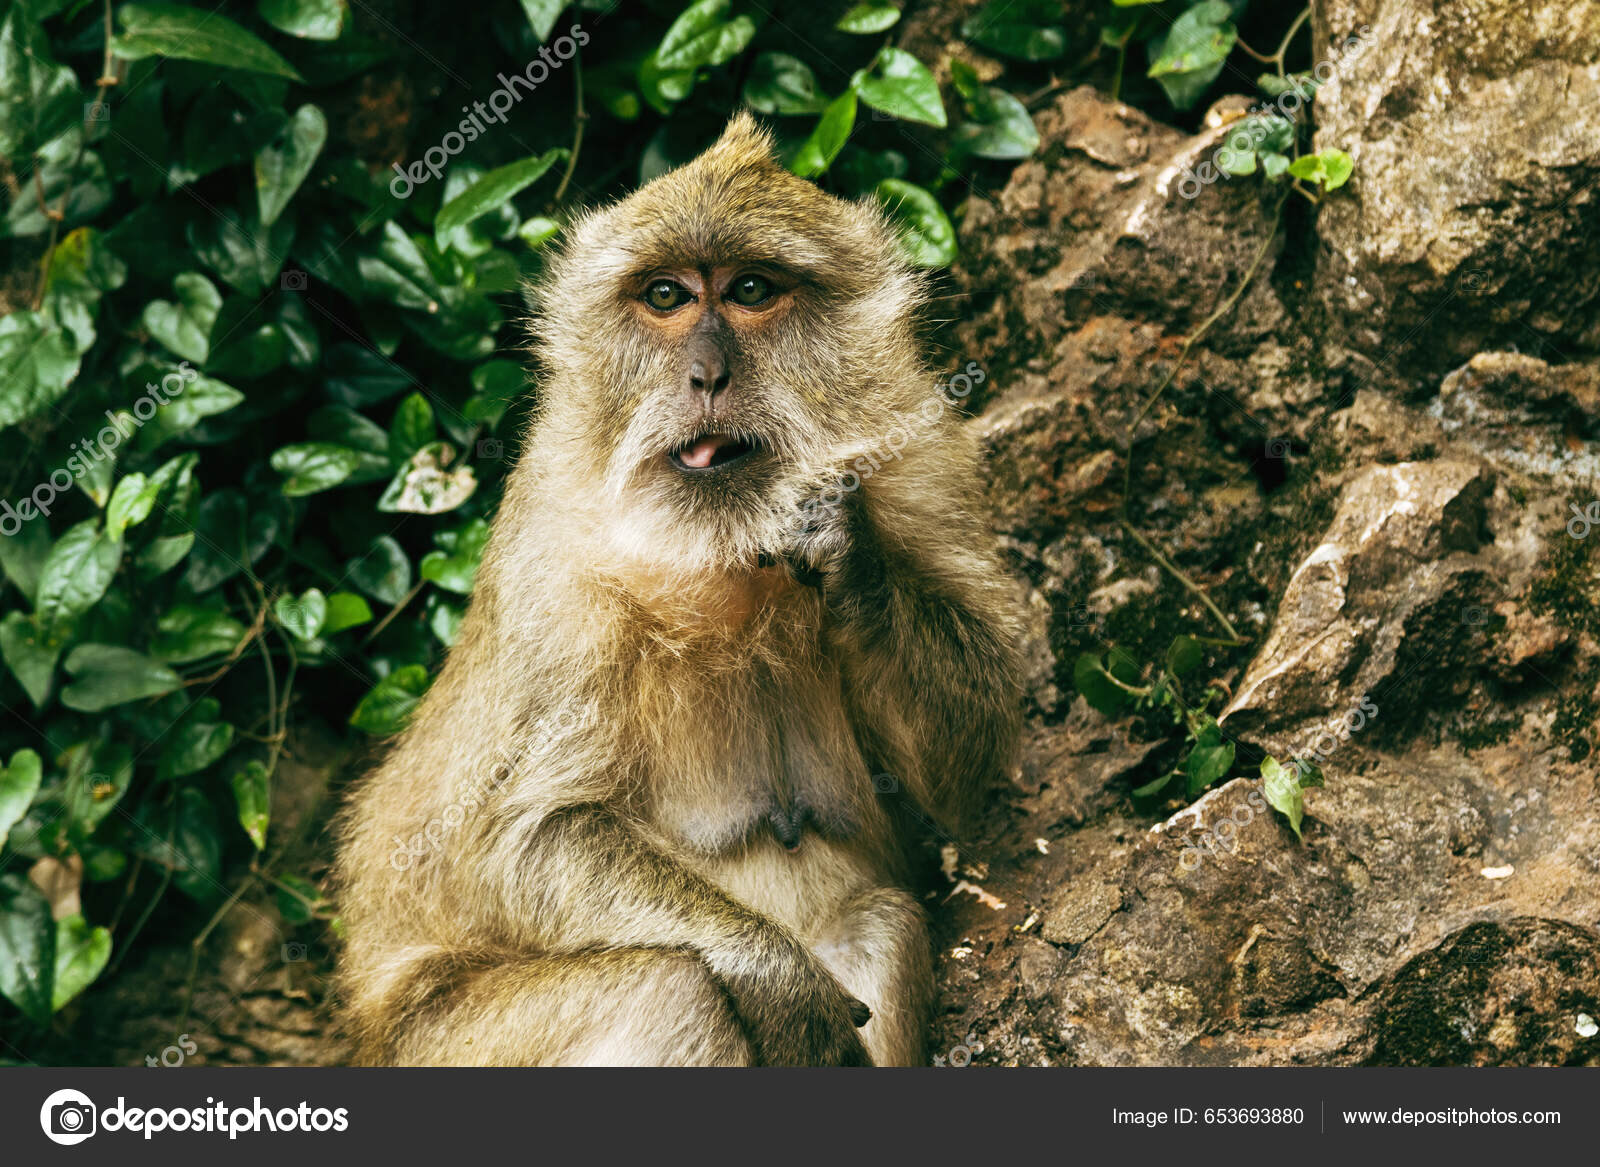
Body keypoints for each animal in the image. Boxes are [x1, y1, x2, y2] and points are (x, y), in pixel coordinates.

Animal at [333, 112, 1021, 1066]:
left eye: (751, 289)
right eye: (665, 297)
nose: (707, 376)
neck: (722, 555)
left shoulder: (924, 463)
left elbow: (968, 760)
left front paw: (844, 545)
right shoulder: (555, 566)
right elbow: (522, 840)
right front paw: (770, 970)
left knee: (880, 921)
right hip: (436, 1044)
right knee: (671, 988)